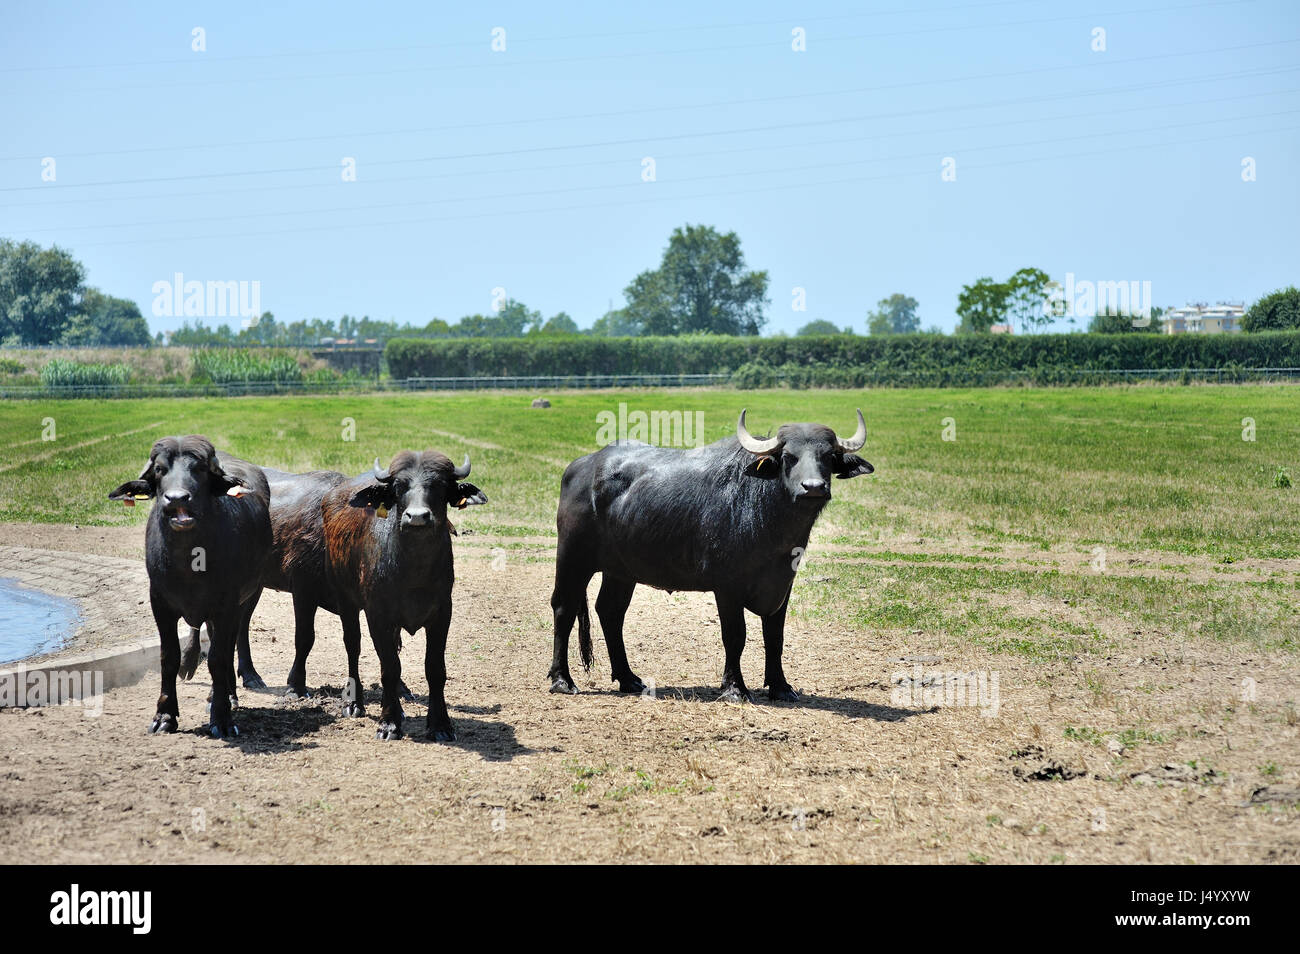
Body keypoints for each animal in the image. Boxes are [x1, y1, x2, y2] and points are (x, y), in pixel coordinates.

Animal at [548, 409, 872, 702]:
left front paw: (781, 687)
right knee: (564, 608)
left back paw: (628, 678)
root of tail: (579, 468)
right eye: (789, 456)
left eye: (827, 456)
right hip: (572, 557)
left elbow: (775, 637)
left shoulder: (783, 584)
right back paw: (562, 680)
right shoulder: (727, 587)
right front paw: (735, 688)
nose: (813, 487)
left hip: (621, 571)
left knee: (611, 611)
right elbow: (735, 635)